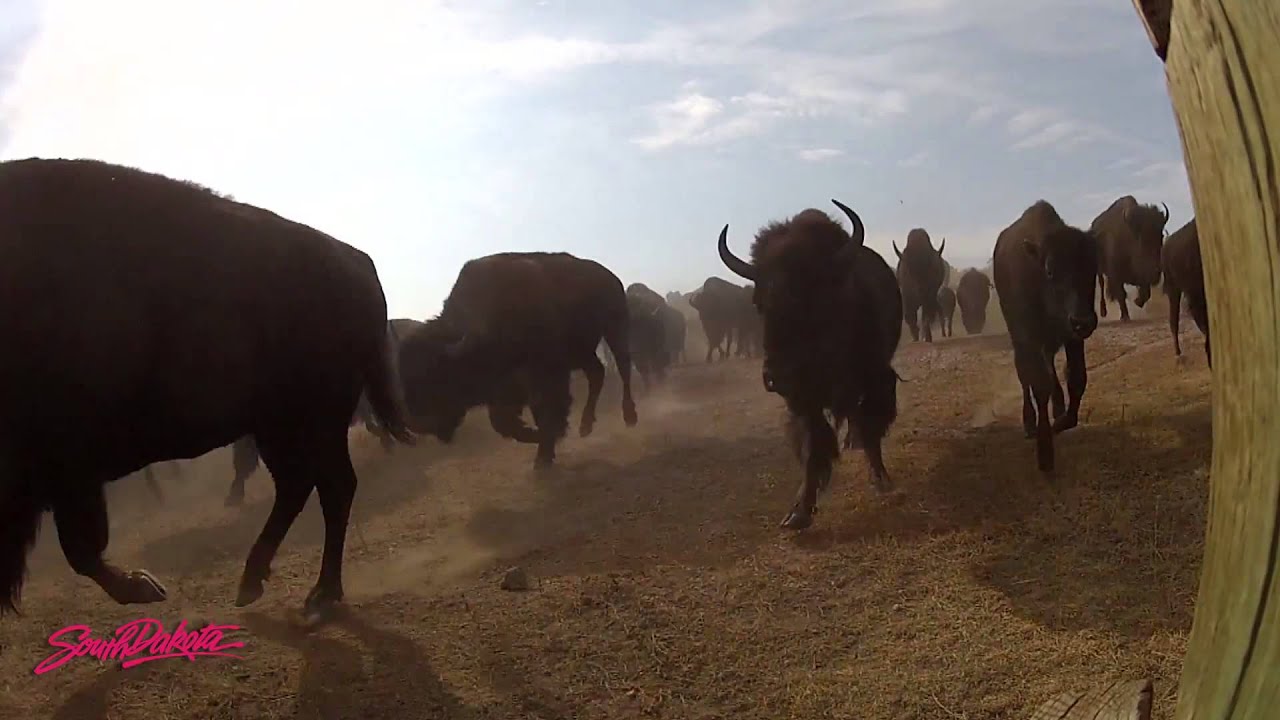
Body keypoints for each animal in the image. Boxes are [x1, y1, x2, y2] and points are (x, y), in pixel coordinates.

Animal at [0, 158, 413, 623]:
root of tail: (358, 261)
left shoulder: (63, 472)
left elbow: (80, 550)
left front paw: (144, 587)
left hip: (315, 419)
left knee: (333, 485)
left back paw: (319, 593)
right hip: (278, 426)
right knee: (300, 484)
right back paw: (255, 582)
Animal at [396, 252, 638, 467]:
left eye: (434, 375)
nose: (420, 423)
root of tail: (610, 276)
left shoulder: (545, 375)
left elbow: (545, 411)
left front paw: (546, 448)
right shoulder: (507, 388)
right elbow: (504, 422)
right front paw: (542, 448)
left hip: (614, 330)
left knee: (624, 368)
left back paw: (630, 416)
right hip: (583, 352)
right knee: (597, 373)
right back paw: (586, 426)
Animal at [717, 199, 902, 530]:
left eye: (809, 297)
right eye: (760, 303)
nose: (775, 376)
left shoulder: (876, 381)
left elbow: (871, 431)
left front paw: (882, 482)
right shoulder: (803, 399)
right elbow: (812, 447)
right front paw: (798, 513)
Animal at [993, 200, 1099, 472]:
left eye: (1093, 268)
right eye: (1050, 271)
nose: (1083, 321)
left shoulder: (1072, 338)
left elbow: (1077, 378)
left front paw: (1061, 421)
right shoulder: (1028, 338)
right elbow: (1037, 383)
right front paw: (1045, 452)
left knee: (1049, 366)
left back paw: (1057, 407)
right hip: (1019, 340)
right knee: (1024, 375)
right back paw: (1029, 423)